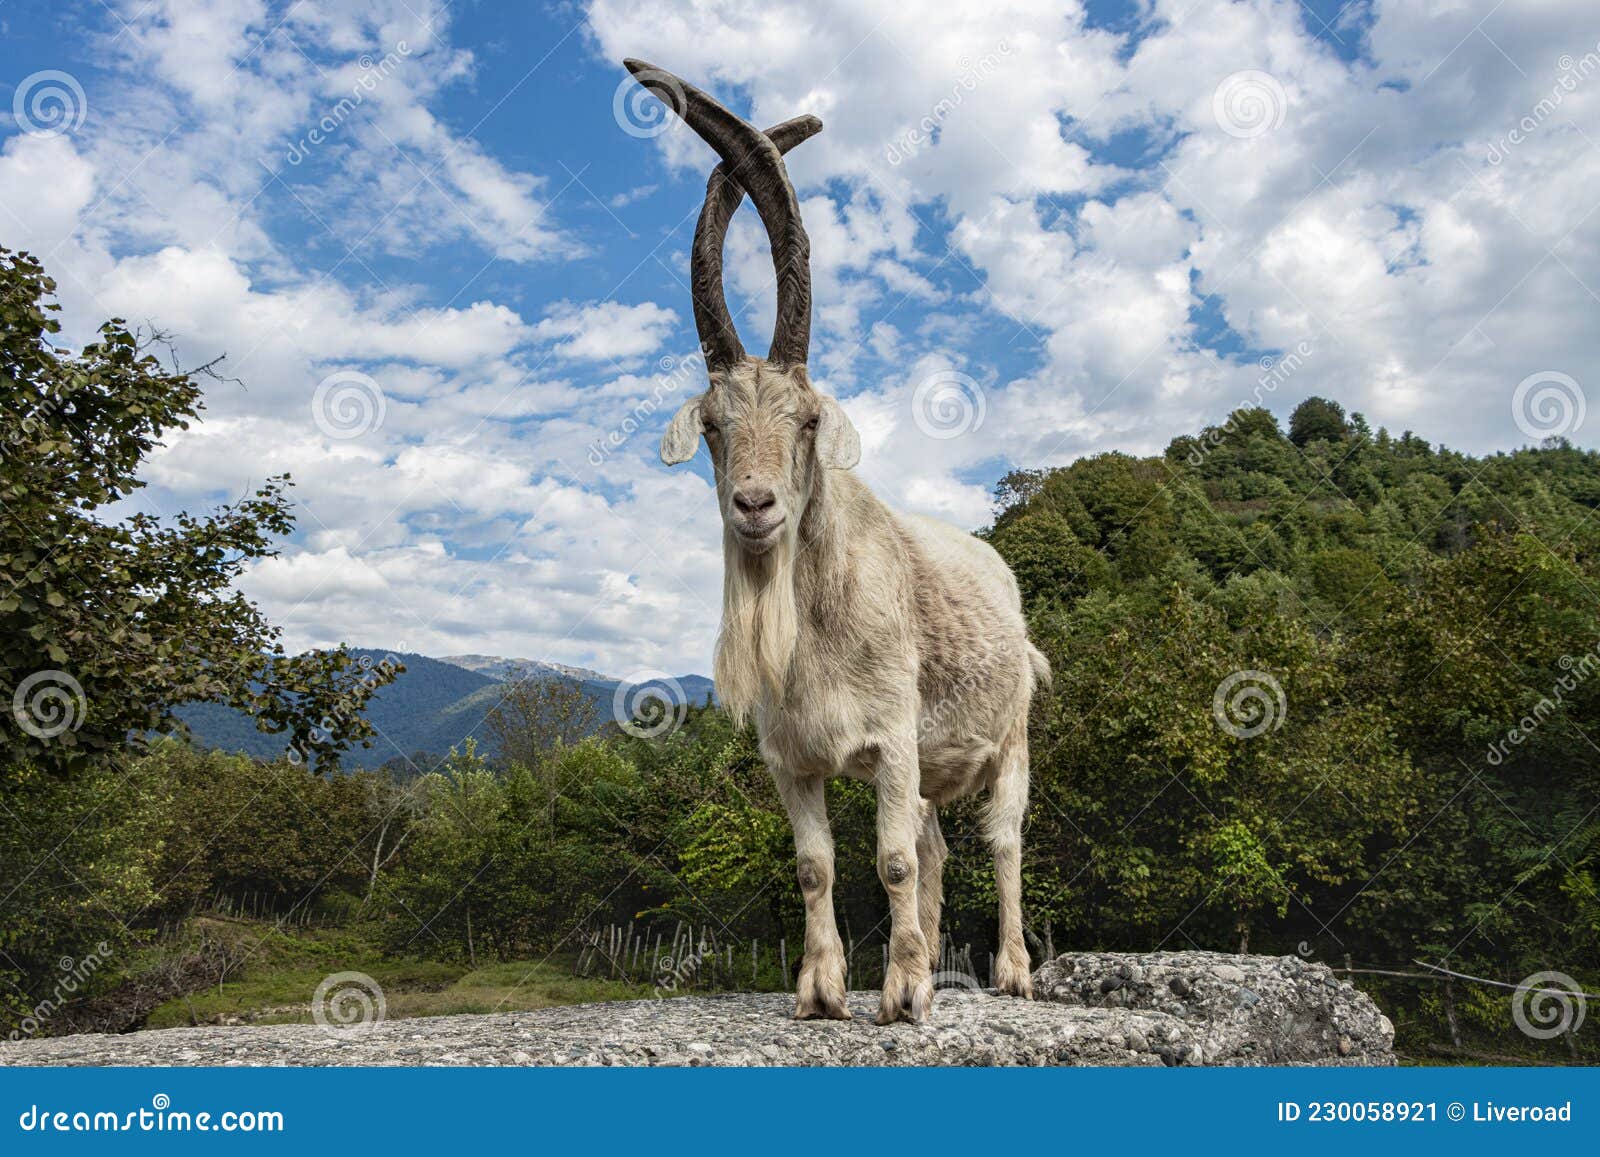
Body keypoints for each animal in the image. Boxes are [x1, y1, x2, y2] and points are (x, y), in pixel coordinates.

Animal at [624, 60, 1050, 1025]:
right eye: (713, 426)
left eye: (809, 419)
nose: (754, 505)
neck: (813, 616)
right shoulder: (794, 759)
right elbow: (817, 864)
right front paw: (824, 989)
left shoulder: (890, 738)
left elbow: (887, 861)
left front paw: (898, 994)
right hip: (931, 766)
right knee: (936, 850)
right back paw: (938, 961)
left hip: (1010, 736)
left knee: (1002, 840)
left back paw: (1010, 969)